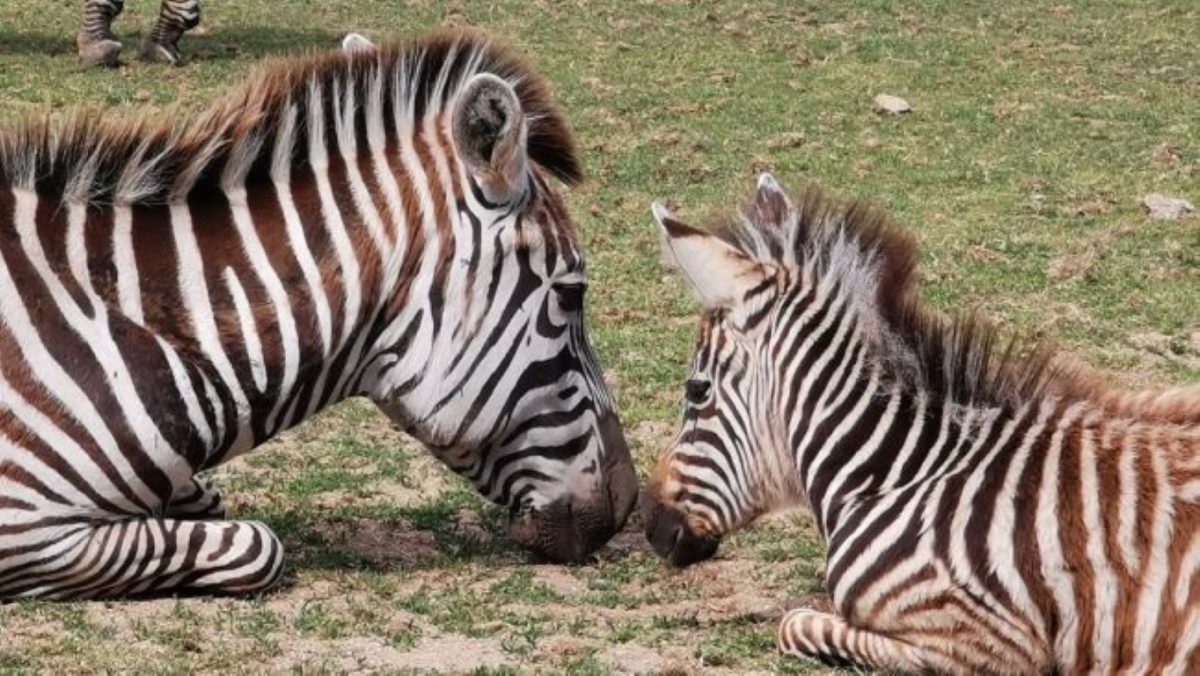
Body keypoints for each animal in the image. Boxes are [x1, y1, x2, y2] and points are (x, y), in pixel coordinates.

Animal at [0, 29, 638, 600]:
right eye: (570, 294)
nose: (629, 504)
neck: (142, 319)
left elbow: (207, 501)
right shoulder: (25, 528)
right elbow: (258, 546)